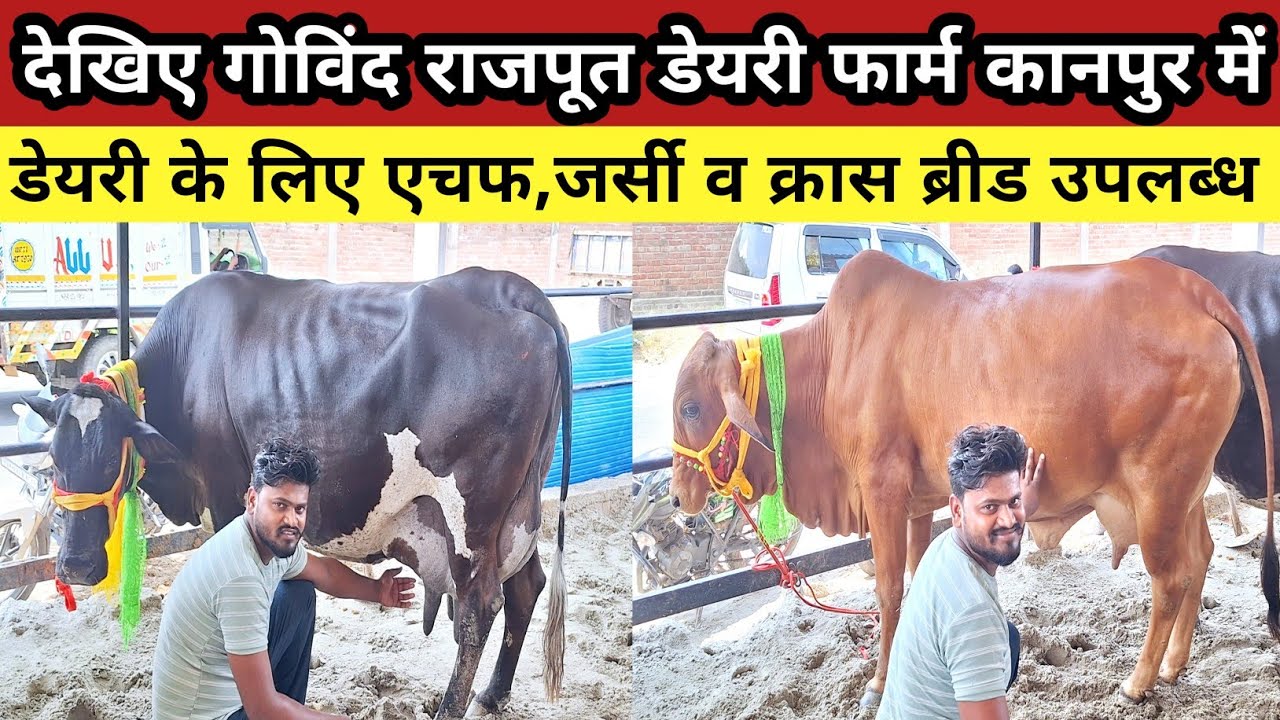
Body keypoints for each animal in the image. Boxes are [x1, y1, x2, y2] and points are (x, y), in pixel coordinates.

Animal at [24, 266, 574, 720]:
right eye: (55, 458)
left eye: (110, 459)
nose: (75, 566)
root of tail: (511, 288)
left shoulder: (224, 495)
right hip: (516, 515)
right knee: (525, 587)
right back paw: (493, 694)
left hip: (472, 516)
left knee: (479, 610)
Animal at [667, 249, 1277, 705]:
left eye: (691, 407)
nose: (676, 497)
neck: (833, 361)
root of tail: (1195, 291)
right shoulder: (918, 501)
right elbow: (914, 579)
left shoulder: (882, 490)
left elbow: (889, 589)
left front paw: (879, 683)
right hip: (1187, 491)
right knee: (1200, 556)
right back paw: (1174, 665)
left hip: (1158, 491)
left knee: (1170, 579)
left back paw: (1139, 681)